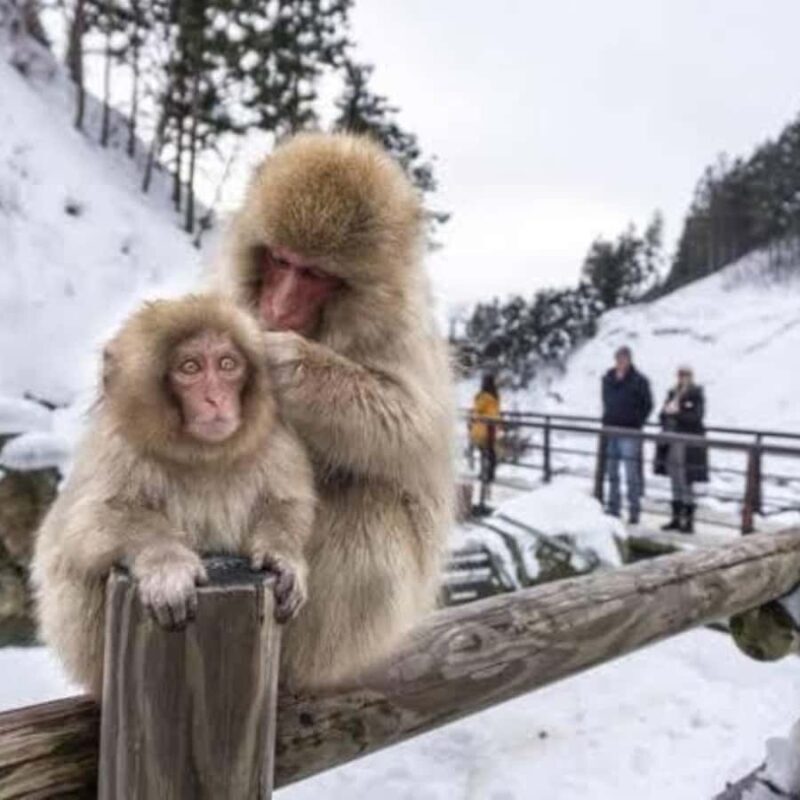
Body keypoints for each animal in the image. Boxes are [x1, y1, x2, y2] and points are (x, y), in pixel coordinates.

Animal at [31, 293, 316, 697]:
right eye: (190, 367)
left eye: (227, 364)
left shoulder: (275, 441)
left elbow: (288, 503)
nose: (215, 398)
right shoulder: (116, 448)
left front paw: (283, 556)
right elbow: (87, 526)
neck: (201, 456)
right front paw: (167, 562)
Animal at [217, 132, 456, 689]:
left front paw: (287, 365)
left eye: (315, 274)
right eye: (281, 261)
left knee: (373, 503)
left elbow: (413, 428)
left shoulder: (401, 334)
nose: (279, 307)